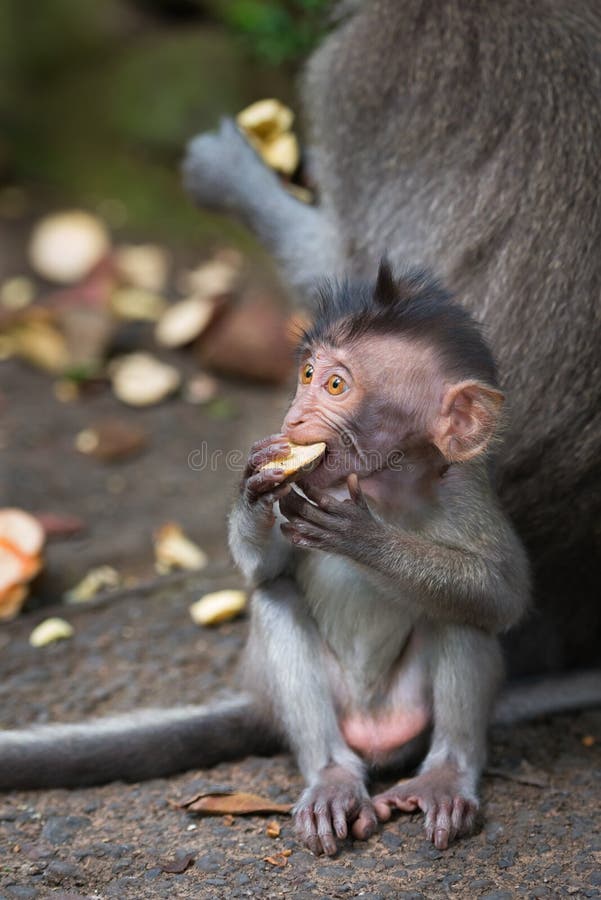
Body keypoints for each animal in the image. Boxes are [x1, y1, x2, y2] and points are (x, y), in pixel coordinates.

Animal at [1, 262, 532, 854]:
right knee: (277, 601)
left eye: (336, 384)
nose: (294, 418)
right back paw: (332, 778)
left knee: (465, 614)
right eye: (307, 373)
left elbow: (503, 593)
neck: (384, 487)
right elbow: (266, 572)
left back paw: (444, 774)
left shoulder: (464, 490)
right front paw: (253, 488)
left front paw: (364, 538)